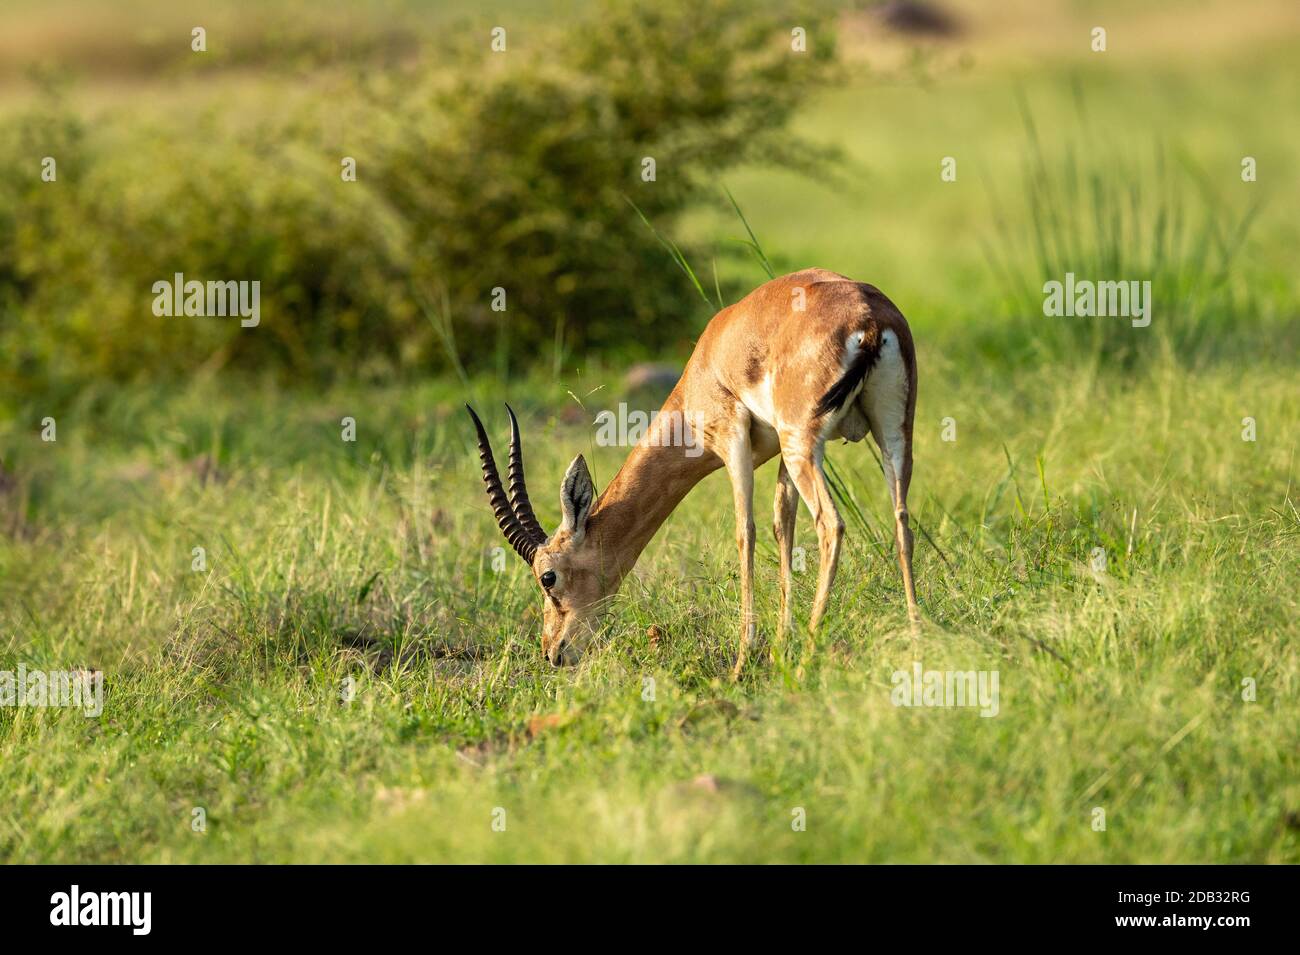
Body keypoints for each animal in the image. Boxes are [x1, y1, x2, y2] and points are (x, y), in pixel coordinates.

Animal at [467, 268, 919, 677]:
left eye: (548, 577)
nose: (553, 652)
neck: (708, 361)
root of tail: (869, 318)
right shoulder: (780, 453)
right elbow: (782, 525)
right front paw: (779, 647)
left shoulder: (733, 440)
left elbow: (745, 532)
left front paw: (743, 662)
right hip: (888, 436)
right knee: (902, 519)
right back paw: (917, 635)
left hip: (804, 442)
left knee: (830, 523)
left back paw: (810, 655)